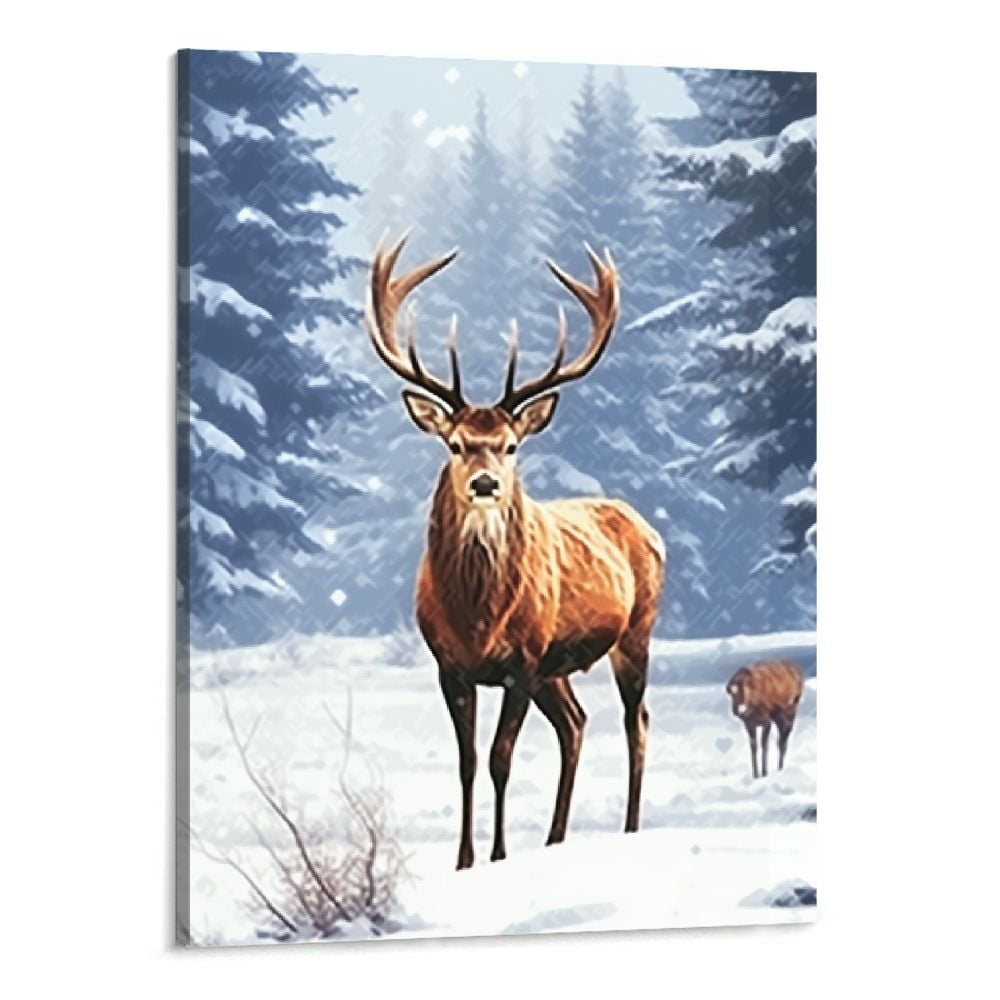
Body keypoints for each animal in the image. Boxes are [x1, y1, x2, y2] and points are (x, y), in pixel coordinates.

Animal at [364, 233, 665, 870]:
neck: (478, 617)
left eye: (509, 446)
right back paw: (555, 837)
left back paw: (628, 829)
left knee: (637, 721)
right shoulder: (449, 666)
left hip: (635, 632)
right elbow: (467, 762)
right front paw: (463, 860)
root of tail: (646, 525)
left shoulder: (522, 661)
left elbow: (501, 759)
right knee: (575, 723)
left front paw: (499, 856)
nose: (485, 484)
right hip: (558, 666)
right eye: (455, 444)